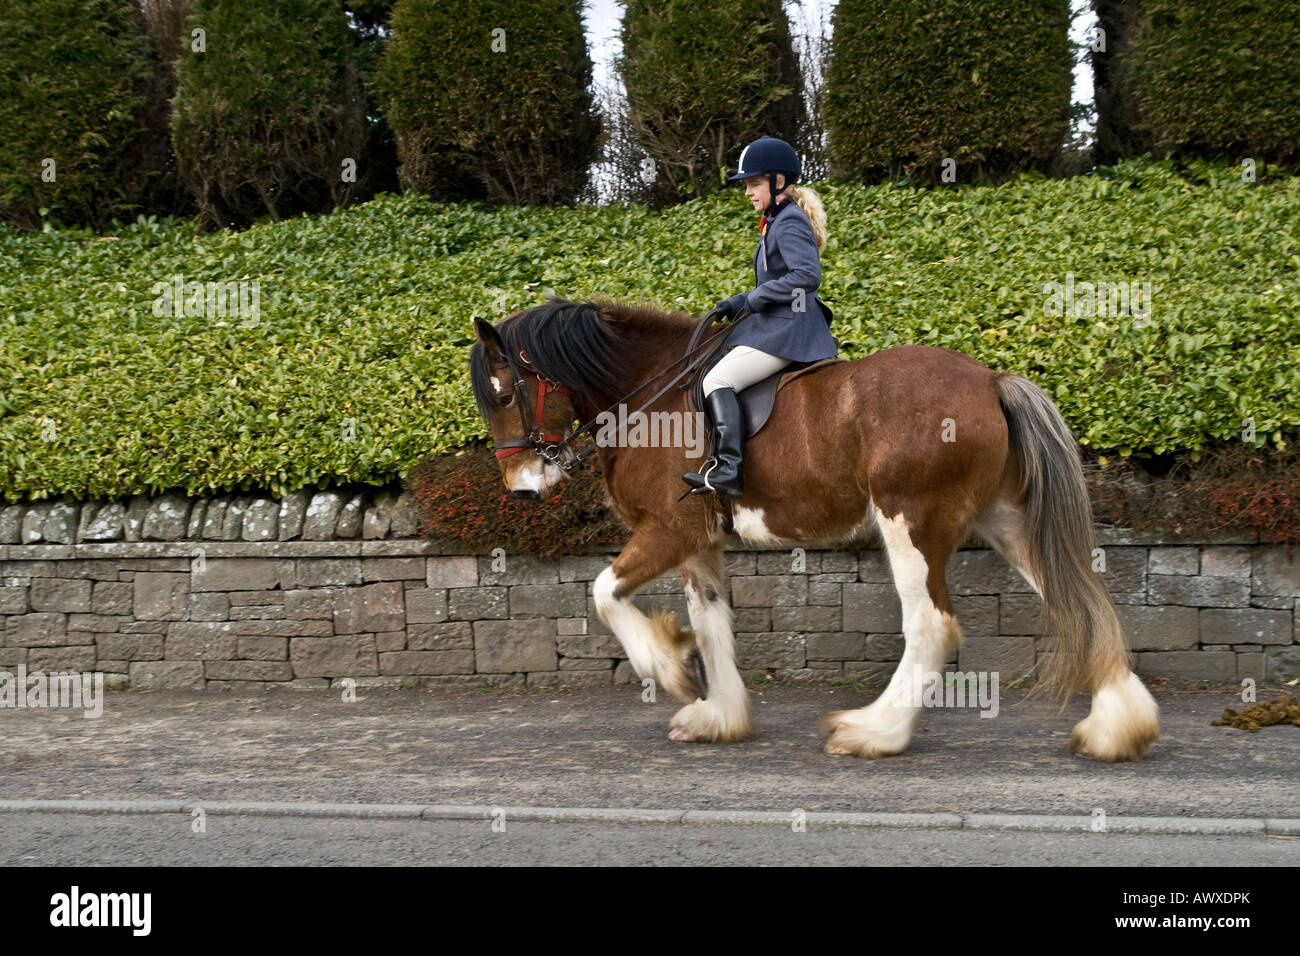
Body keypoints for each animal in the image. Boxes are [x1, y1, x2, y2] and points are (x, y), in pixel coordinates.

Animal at [467, 296, 1160, 762]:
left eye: (501, 393)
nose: (522, 488)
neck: (649, 395)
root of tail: (991, 380)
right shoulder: (699, 542)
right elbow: (712, 621)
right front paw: (718, 716)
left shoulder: (669, 529)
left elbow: (605, 593)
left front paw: (669, 668)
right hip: (1006, 521)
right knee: (1076, 597)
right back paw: (1118, 728)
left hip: (911, 525)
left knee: (932, 626)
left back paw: (872, 732)